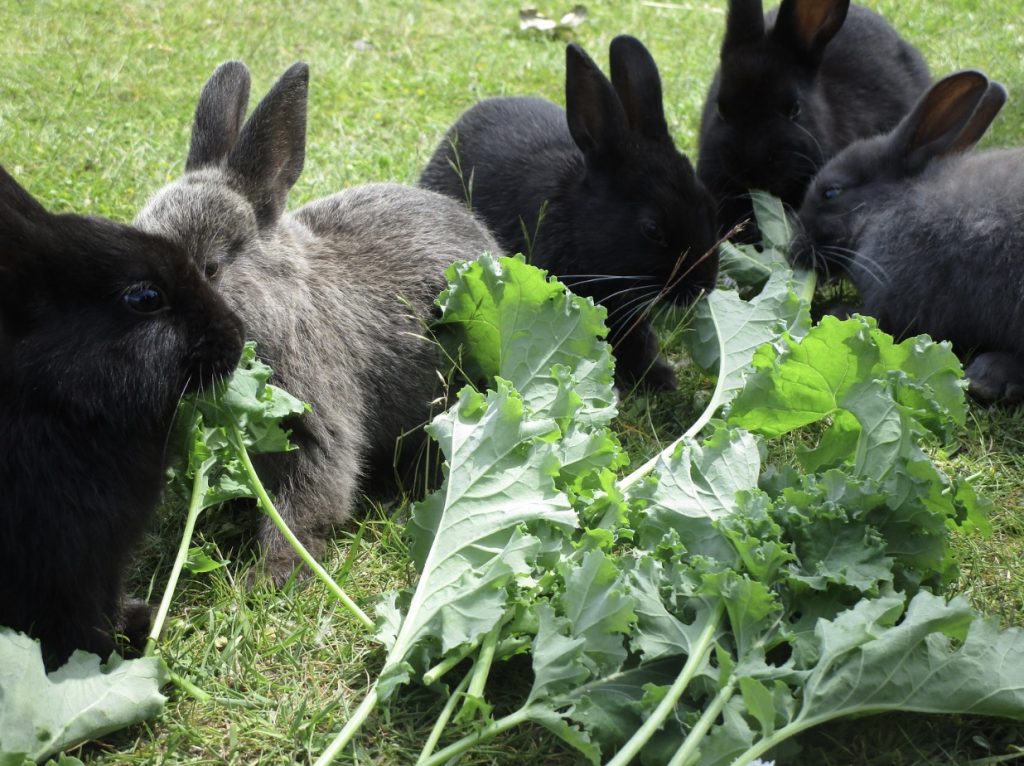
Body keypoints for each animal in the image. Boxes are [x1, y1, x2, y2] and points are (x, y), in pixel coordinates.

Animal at [0, 165, 244, 667]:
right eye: (145, 297)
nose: (239, 335)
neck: (55, 404)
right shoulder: (66, 566)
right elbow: (78, 623)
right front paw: (108, 660)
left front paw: (136, 624)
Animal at [791, 69, 1024, 403]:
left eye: (831, 192)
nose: (792, 248)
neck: (885, 208)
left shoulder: (895, 294)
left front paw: (834, 312)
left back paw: (988, 378)